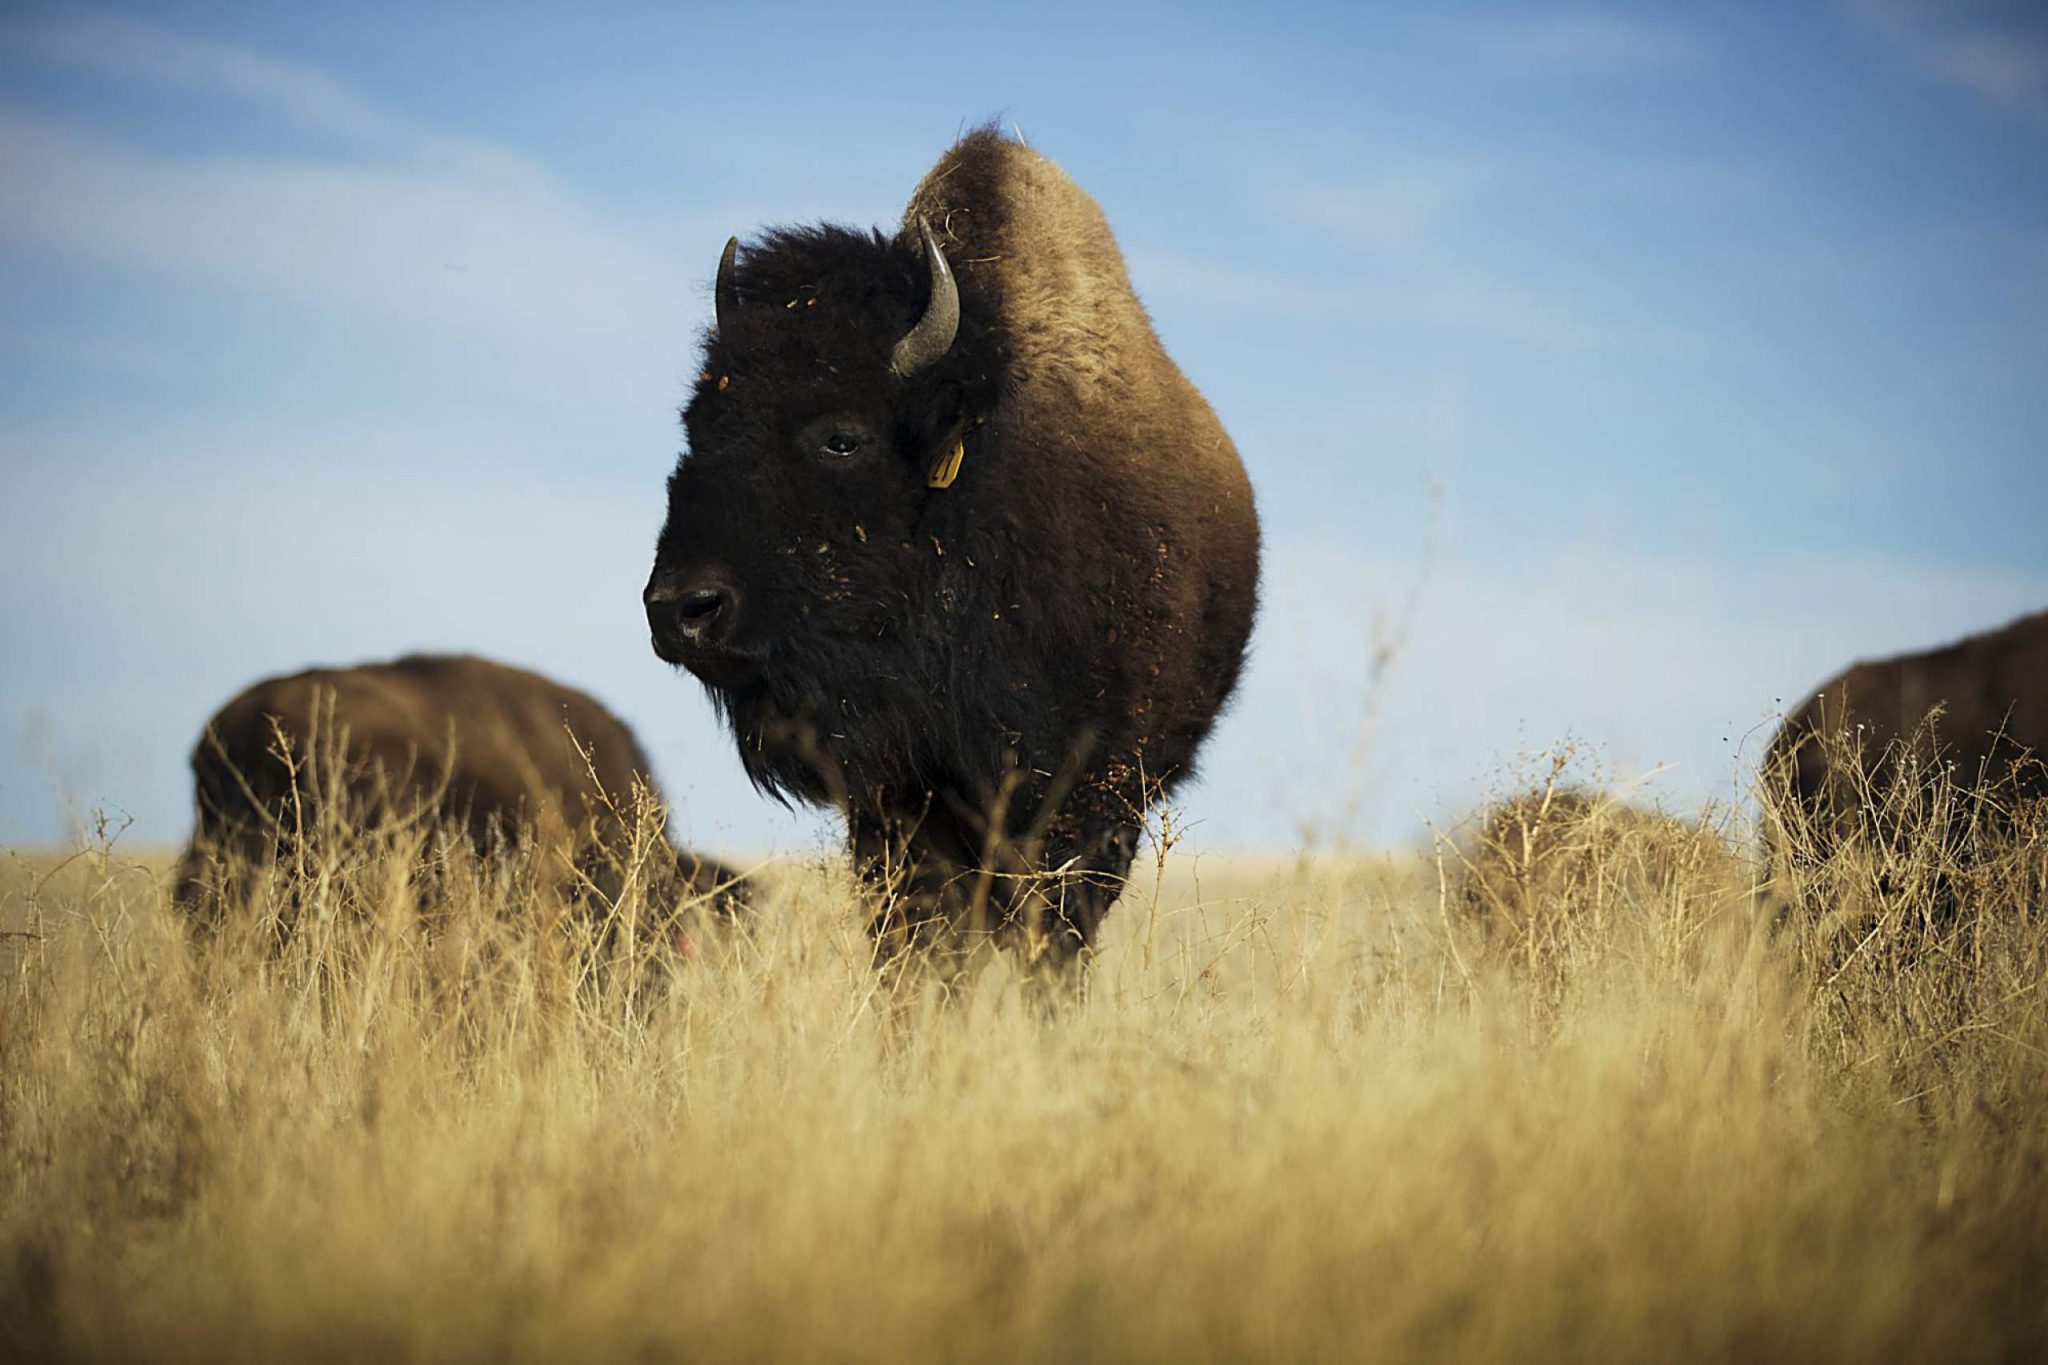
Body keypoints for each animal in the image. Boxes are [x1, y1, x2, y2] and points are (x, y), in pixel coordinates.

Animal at [645, 128, 1260, 975]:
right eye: (696, 426)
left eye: (843, 437)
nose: (682, 609)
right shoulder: (900, 800)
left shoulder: (1082, 794)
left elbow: (1053, 935)